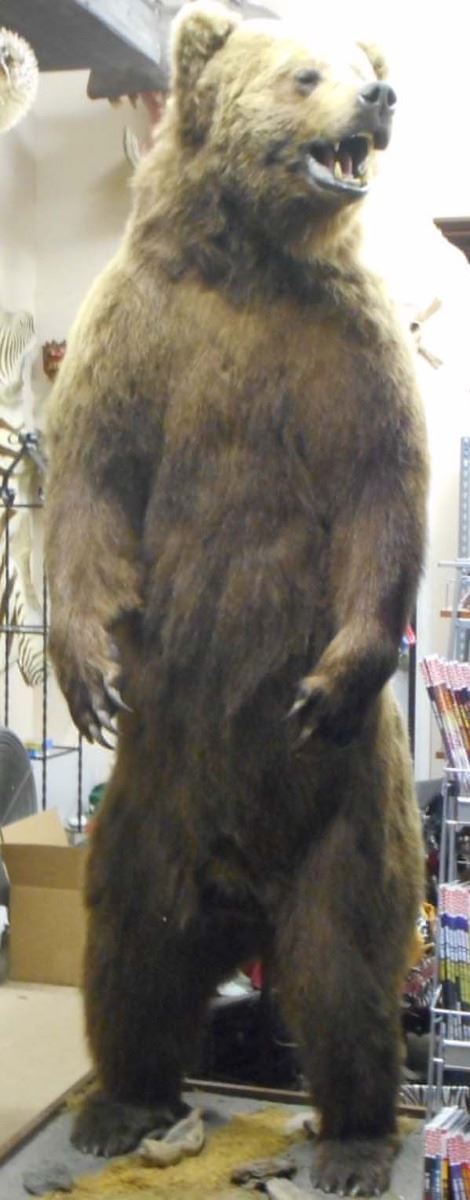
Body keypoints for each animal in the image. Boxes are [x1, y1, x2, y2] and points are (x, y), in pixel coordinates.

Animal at [44, 3, 428, 1195]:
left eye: (359, 63)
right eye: (306, 72)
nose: (380, 97)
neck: (256, 263)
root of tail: (239, 898)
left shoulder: (349, 347)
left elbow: (382, 495)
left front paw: (325, 681)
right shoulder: (137, 334)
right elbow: (91, 478)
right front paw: (87, 674)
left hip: (343, 822)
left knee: (345, 976)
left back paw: (352, 1138)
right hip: (144, 813)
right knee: (128, 955)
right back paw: (122, 1108)